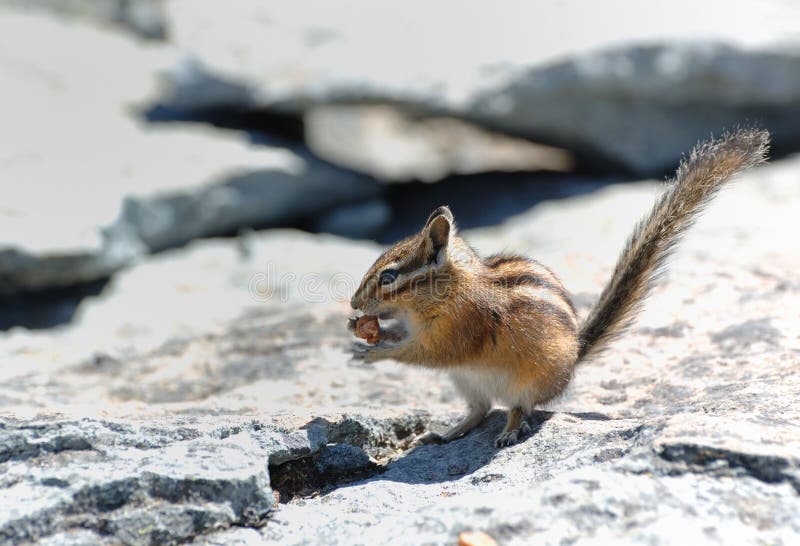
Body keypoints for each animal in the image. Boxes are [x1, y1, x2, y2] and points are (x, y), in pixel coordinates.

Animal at [348, 129, 769, 448]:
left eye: (388, 278)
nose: (353, 304)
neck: (447, 293)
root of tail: (575, 354)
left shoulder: (461, 328)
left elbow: (423, 353)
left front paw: (374, 352)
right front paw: (367, 334)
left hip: (525, 380)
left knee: (518, 407)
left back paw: (509, 431)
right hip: (466, 382)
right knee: (479, 410)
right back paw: (447, 432)